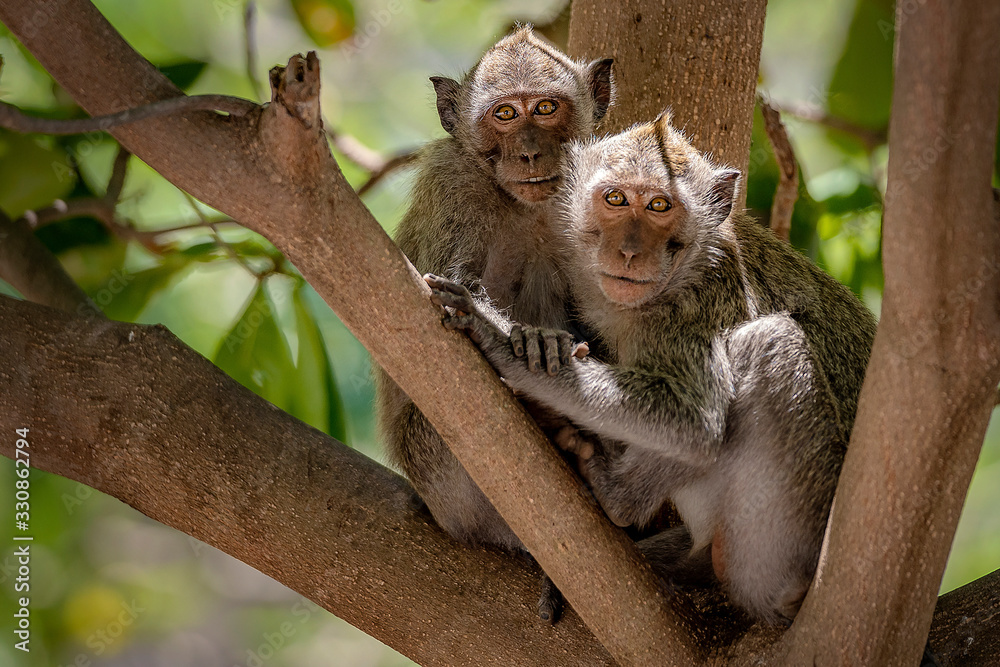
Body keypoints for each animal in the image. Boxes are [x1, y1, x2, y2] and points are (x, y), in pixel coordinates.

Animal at [372, 27, 614, 620]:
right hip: (441, 474)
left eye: (545, 108)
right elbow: (446, 293)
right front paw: (520, 337)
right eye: (505, 114)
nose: (528, 151)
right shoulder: (455, 189)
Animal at [424, 110, 878, 624]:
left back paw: (619, 499)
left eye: (660, 205)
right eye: (616, 199)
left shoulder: (698, 304)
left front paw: (504, 342)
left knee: (767, 343)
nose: (629, 250)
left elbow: (695, 422)